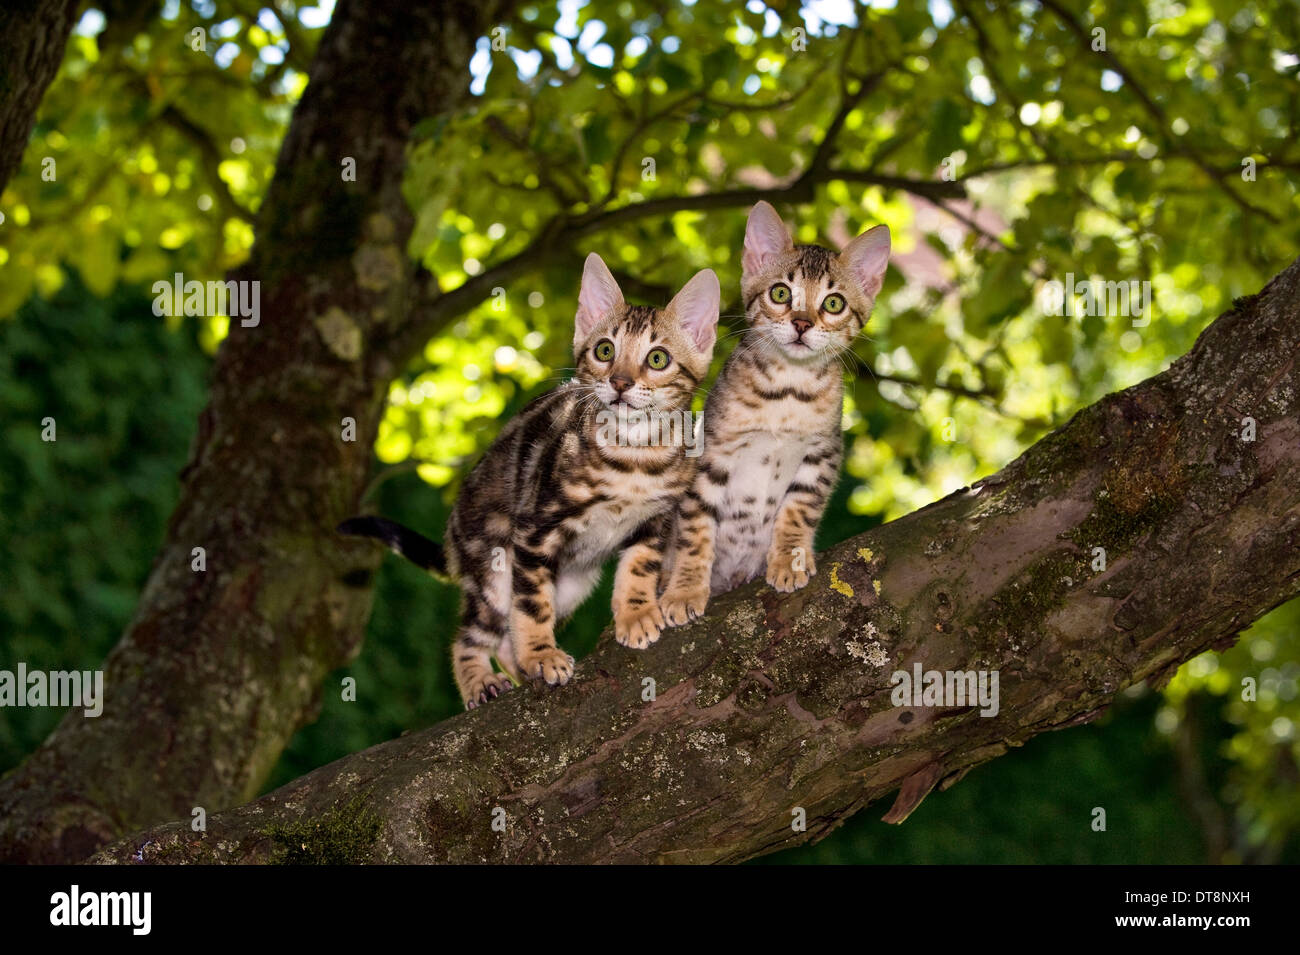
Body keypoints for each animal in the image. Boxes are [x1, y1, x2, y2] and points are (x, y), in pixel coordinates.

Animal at [340, 257, 717, 706]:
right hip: (493, 565)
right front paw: (540, 654)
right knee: (471, 634)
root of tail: (453, 535)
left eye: (658, 359)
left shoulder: (655, 519)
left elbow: (640, 567)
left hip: (574, 580)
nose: (620, 382)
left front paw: (636, 612)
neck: (633, 456)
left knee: (505, 638)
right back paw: (481, 681)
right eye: (604, 351)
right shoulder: (536, 531)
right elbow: (532, 605)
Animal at [660, 200, 894, 628]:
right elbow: (695, 530)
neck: (787, 391)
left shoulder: (823, 452)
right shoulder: (710, 455)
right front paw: (684, 590)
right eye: (781, 293)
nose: (801, 323)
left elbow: (799, 509)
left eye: (833, 303)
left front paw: (789, 559)